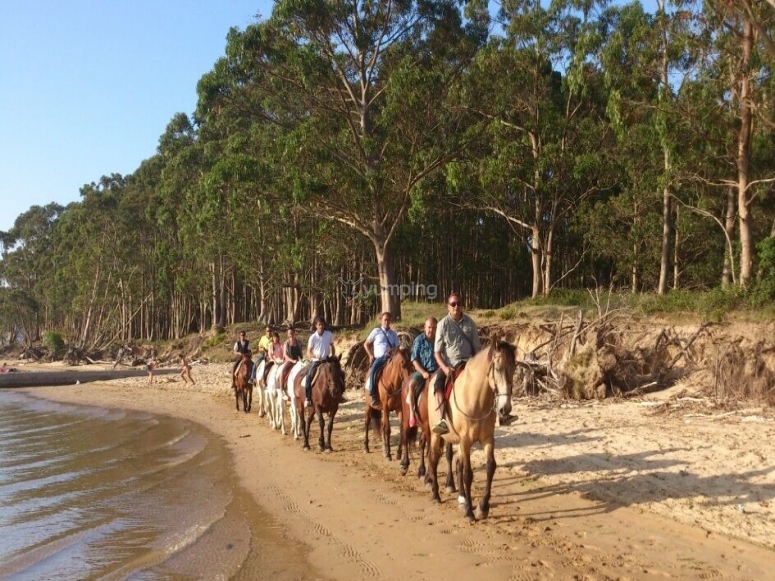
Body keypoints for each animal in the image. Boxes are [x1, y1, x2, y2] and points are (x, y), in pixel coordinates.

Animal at [426, 340, 516, 522]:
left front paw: (482, 507)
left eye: (514, 368)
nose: (505, 408)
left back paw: (460, 497)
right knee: (433, 459)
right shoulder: (466, 440)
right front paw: (469, 511)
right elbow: (468, 473)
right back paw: (436, 494)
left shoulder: (487, 438)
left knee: (457, 463)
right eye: (498, 368)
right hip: (436, 435)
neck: (477, 399)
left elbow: (490, 467)